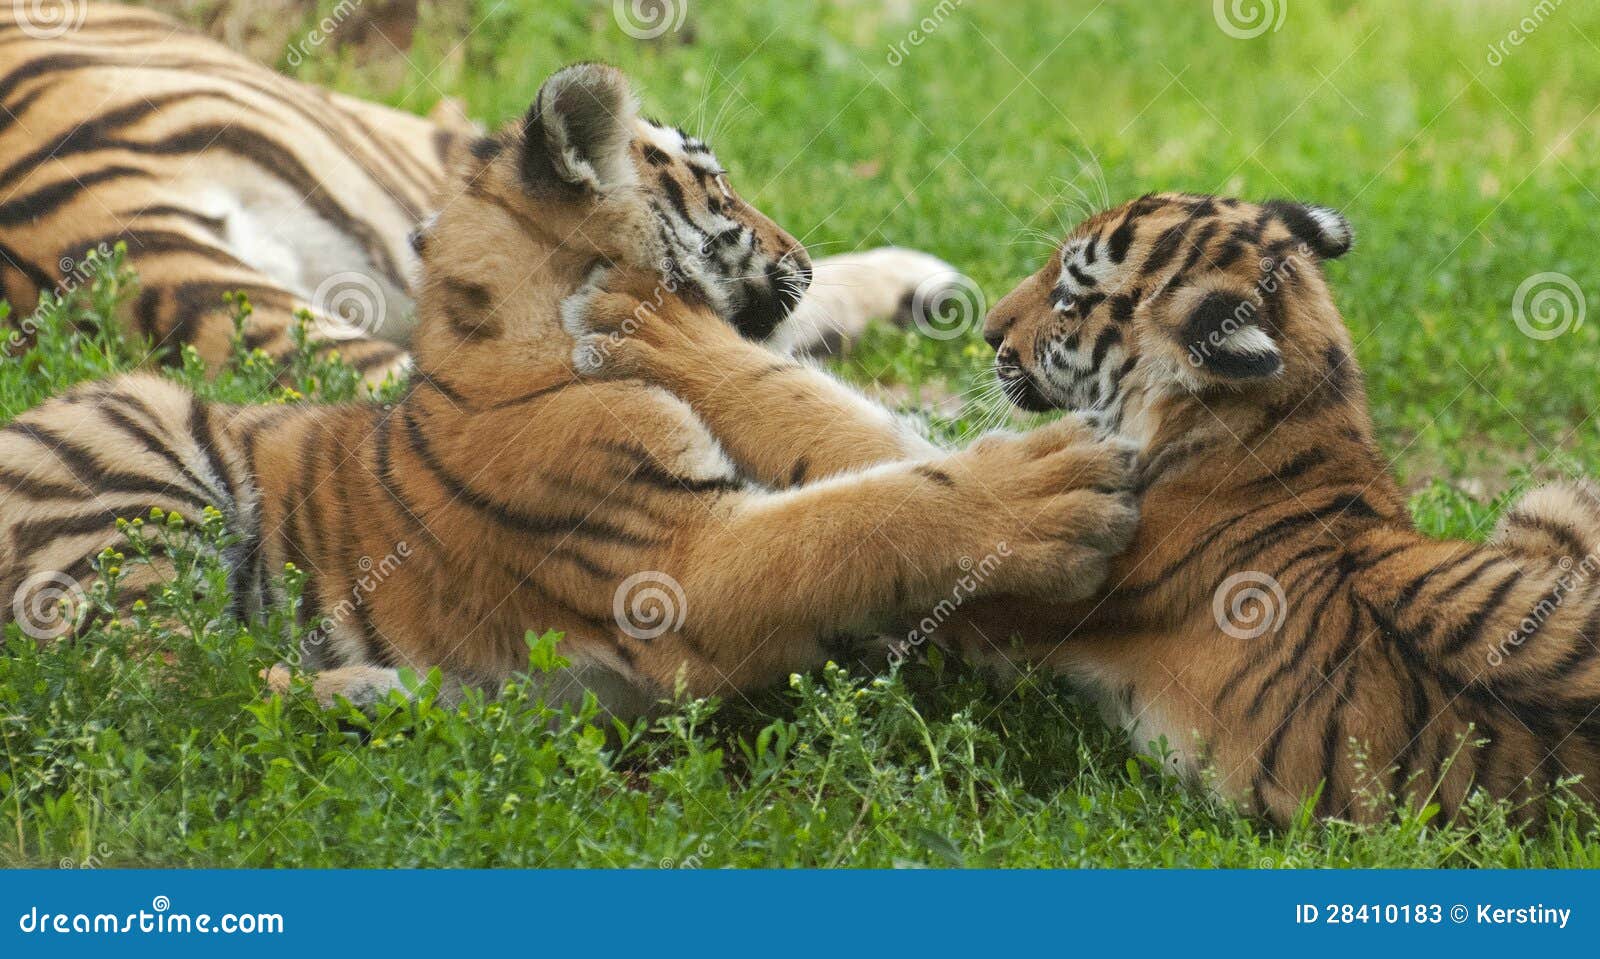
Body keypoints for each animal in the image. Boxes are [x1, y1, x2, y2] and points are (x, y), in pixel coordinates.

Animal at [0, 62, 1140, 717]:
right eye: (717, 188)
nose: (804, 259)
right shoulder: (679, 562)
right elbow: (864, 516)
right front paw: (1055, 489)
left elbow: (854, 448)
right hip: (138, 477)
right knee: (169, 685)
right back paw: (381, 692)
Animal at [563, 190, 1600, 825]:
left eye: (1069, 296)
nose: (984, 330)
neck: (1297, 409)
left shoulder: (1015, 580)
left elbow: (834, 430)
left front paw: (655, 321)